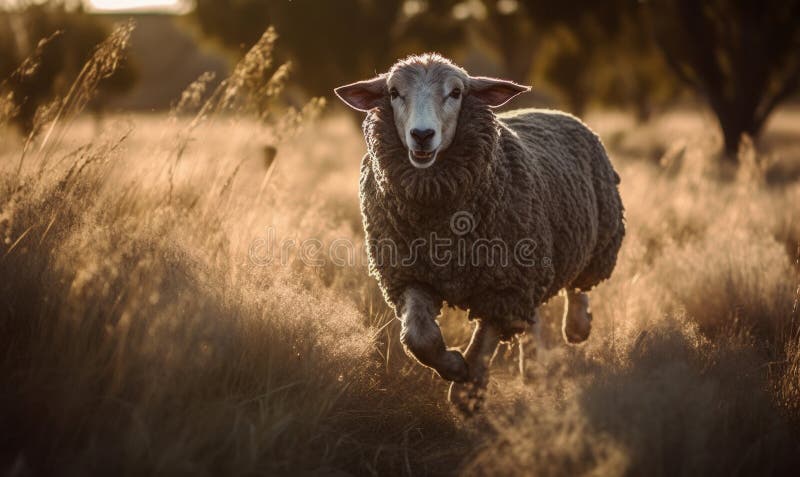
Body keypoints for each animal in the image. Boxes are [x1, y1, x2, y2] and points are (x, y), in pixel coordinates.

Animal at [335, 53, 624, 414]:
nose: (422, 134)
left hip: (591, 241)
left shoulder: (505, 285)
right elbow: (419, 337)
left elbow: (484, 341)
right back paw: (532, 366)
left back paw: (577, 326)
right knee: (532, 316)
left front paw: (466, 390)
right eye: (393, 93)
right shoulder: (408, 275)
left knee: (578, 286)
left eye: (456, 92)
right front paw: (455, 368)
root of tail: (555, 111)